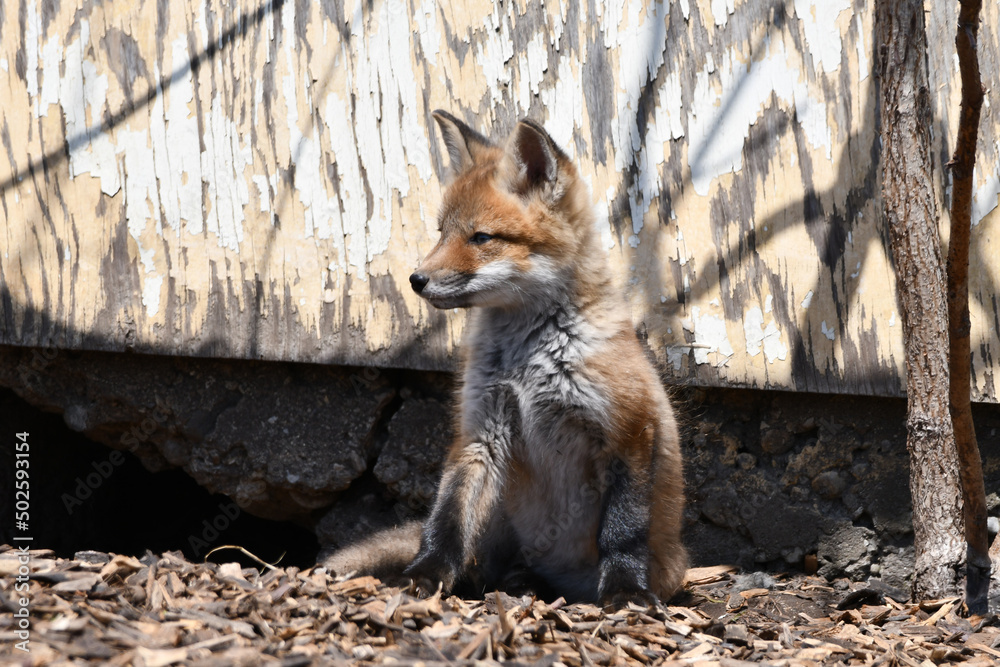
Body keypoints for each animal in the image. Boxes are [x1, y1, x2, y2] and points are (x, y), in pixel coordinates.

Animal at [325, 111, 686, 604]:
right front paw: (425, 573)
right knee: (482, 558)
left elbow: (623, 527)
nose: (416, 280)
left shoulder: (629, 430)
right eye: (442, 232)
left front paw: (625, 589)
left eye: (481, 237)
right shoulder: (480, 431)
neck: (528, 365)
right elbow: (446, 519)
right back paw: (510, 581)